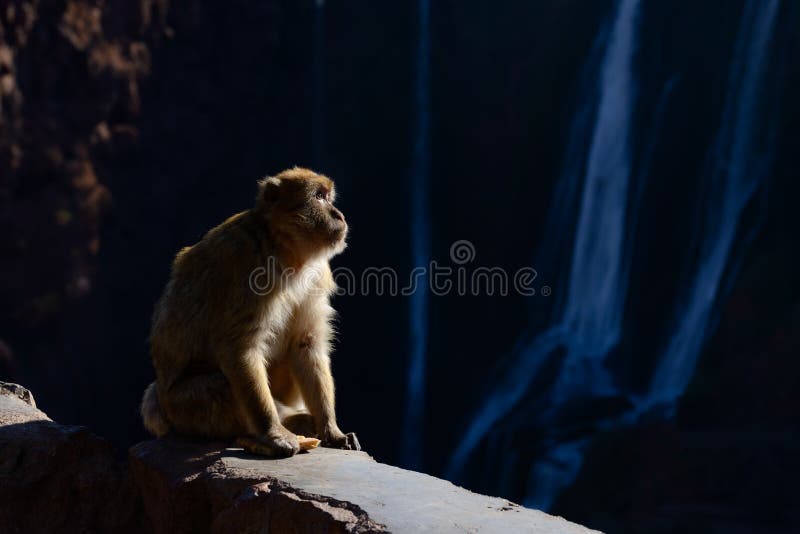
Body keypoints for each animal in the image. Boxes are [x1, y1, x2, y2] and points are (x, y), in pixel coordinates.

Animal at [140, 167, 359, 457]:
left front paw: (331, 430)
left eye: (328, 197)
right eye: (319, 196)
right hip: (183, 410)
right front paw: (273, 434)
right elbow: (239, 348)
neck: (285, 250)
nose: (339, 215)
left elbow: (306, 343)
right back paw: (276, 430)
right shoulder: (246, 260)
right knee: (218, 388)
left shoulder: (318, 273)